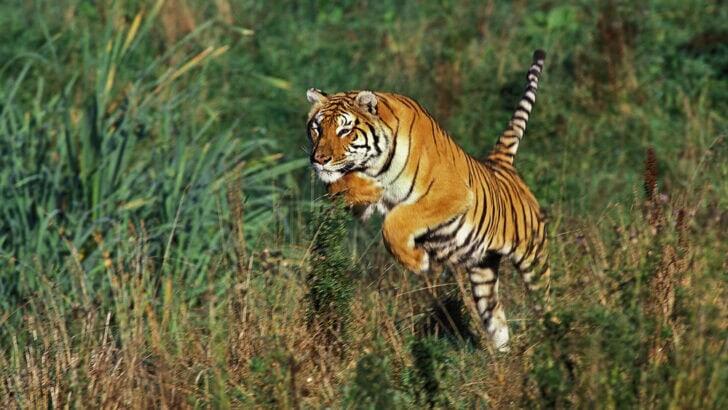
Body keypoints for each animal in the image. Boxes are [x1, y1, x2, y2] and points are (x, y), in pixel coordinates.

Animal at [305, 50, 549, 351]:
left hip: (533, 258)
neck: (374, 165)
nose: (319, 159)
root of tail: (500, 164)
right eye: (316, 128)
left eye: (344, 130)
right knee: (496, 319)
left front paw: (417, 260)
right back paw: (505, 357)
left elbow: (396, 221)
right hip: (483, 272)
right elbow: (344, 186)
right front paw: (366, 188)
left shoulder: (449, 193)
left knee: (546, 302)